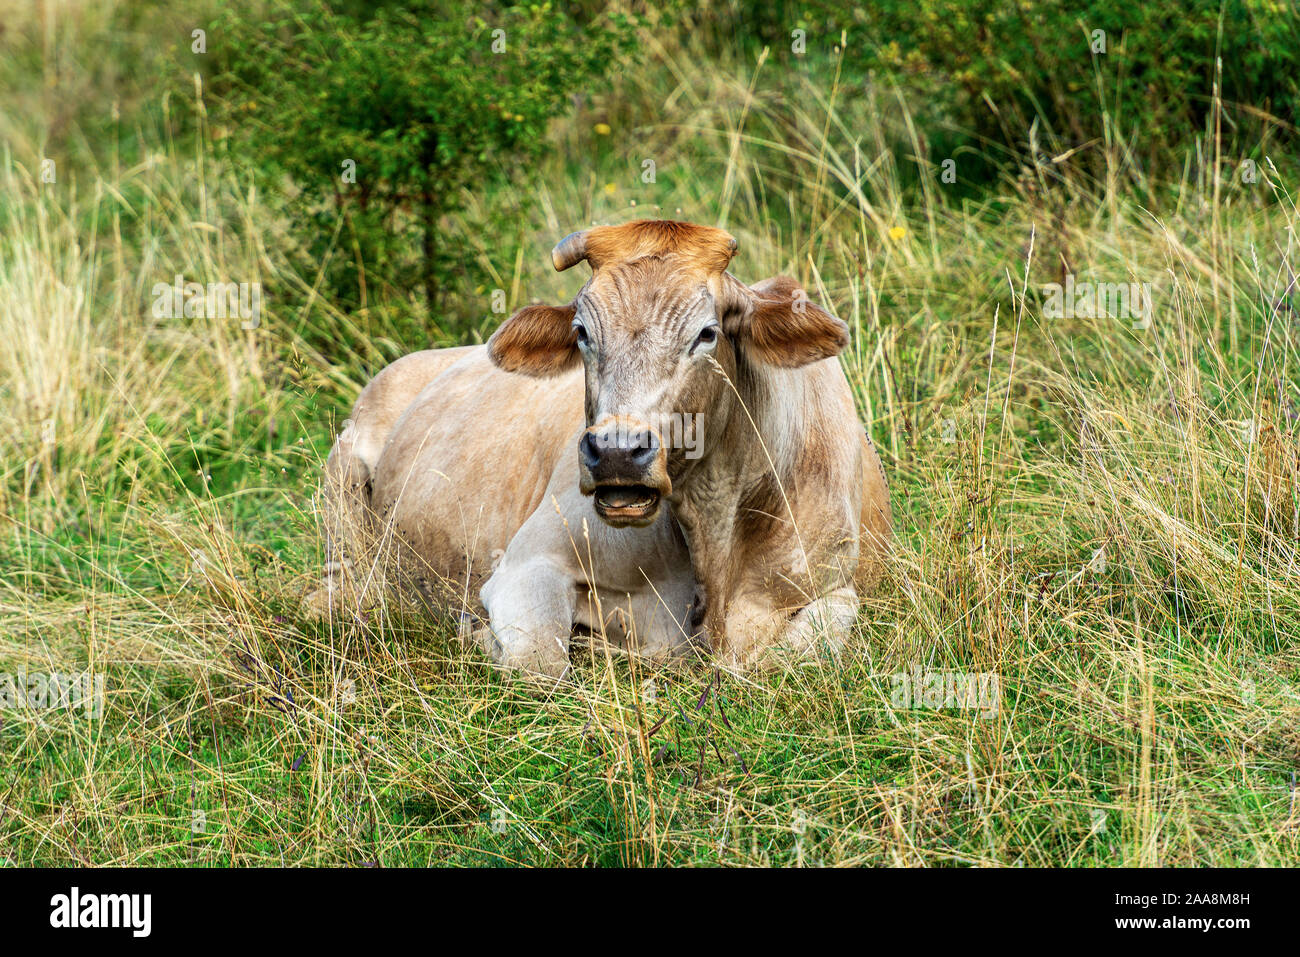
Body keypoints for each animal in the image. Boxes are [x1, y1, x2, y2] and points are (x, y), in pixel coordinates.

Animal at [307, 220, 891, 678]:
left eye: (706, 334)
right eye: (582, 331)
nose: (616, 452)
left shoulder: (836, 589)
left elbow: (800, 651)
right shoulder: (528, 562)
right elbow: (539, 664)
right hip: (342, 487)